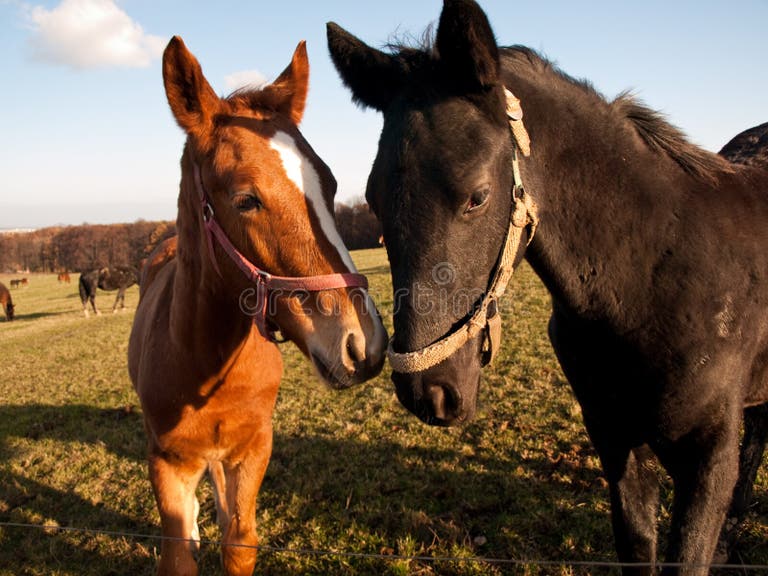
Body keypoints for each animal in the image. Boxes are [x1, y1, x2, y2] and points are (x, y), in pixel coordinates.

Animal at [128, 37, 387, 576]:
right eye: (246, 199)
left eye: (330, 185)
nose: (363, 345)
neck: (206, 366)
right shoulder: (166, 461)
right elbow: (178, 551)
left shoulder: (253, 449)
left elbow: (240, 540)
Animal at [327, 1, 768, 574]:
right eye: (374, 198)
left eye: (477, 196)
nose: (429, 393)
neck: (653, 280)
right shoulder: (615, 440)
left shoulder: (707, 462)